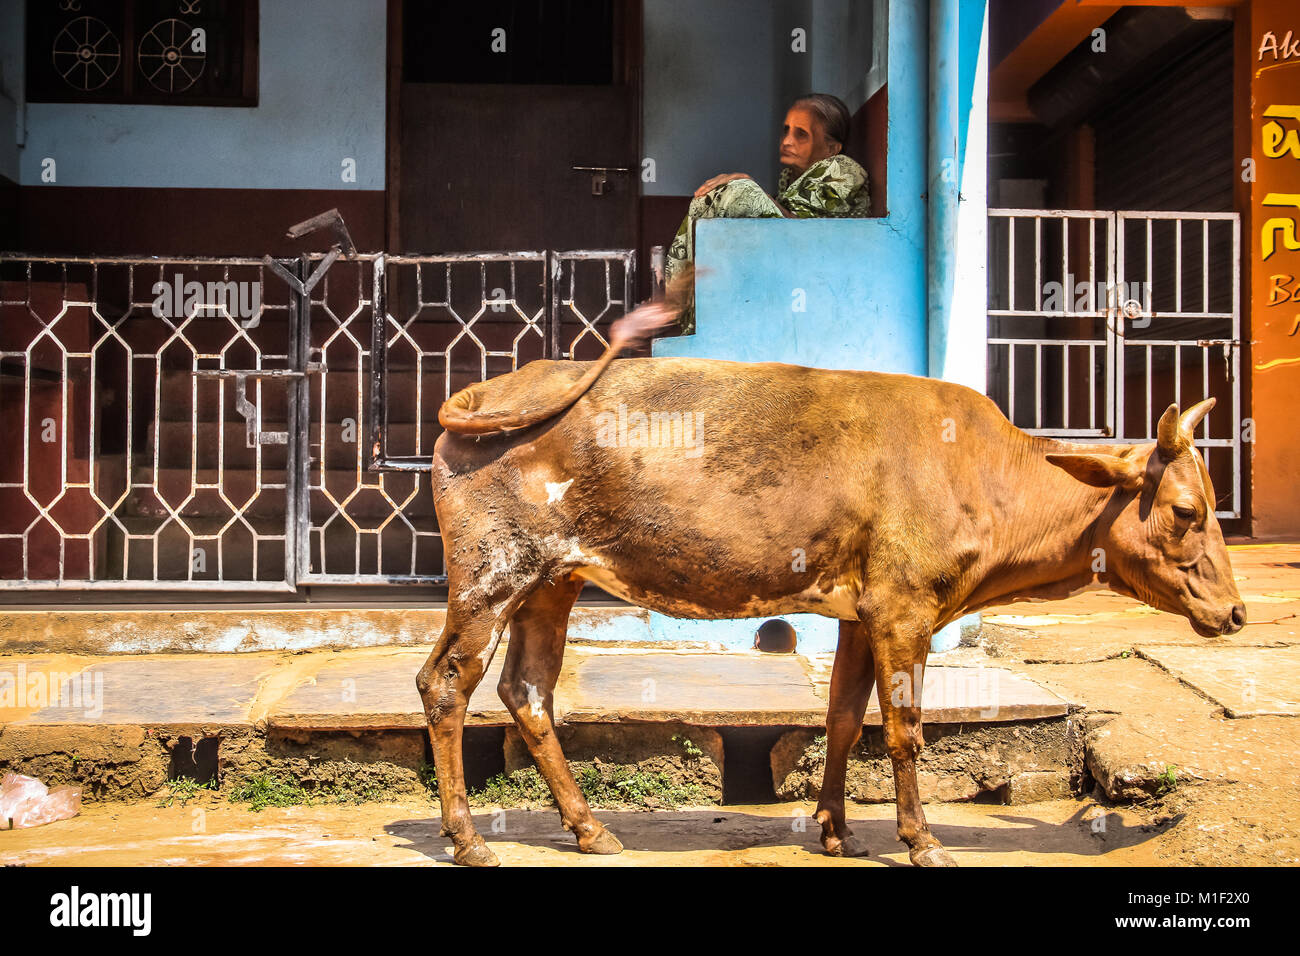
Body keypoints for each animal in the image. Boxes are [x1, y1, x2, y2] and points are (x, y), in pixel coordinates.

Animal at [416, 300, 1246, 867]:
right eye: (1186, 510)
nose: (1236, 613)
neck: (989, 474)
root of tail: (500, 387)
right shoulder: (907, 609)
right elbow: (904, 729)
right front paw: (921, 842)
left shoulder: (859, 610)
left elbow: (844, 718)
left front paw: (835, 830)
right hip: (490, 575)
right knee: (447, 683)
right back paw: (469, 840)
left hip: (550, 580)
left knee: (527, 690)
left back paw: (589, 829)